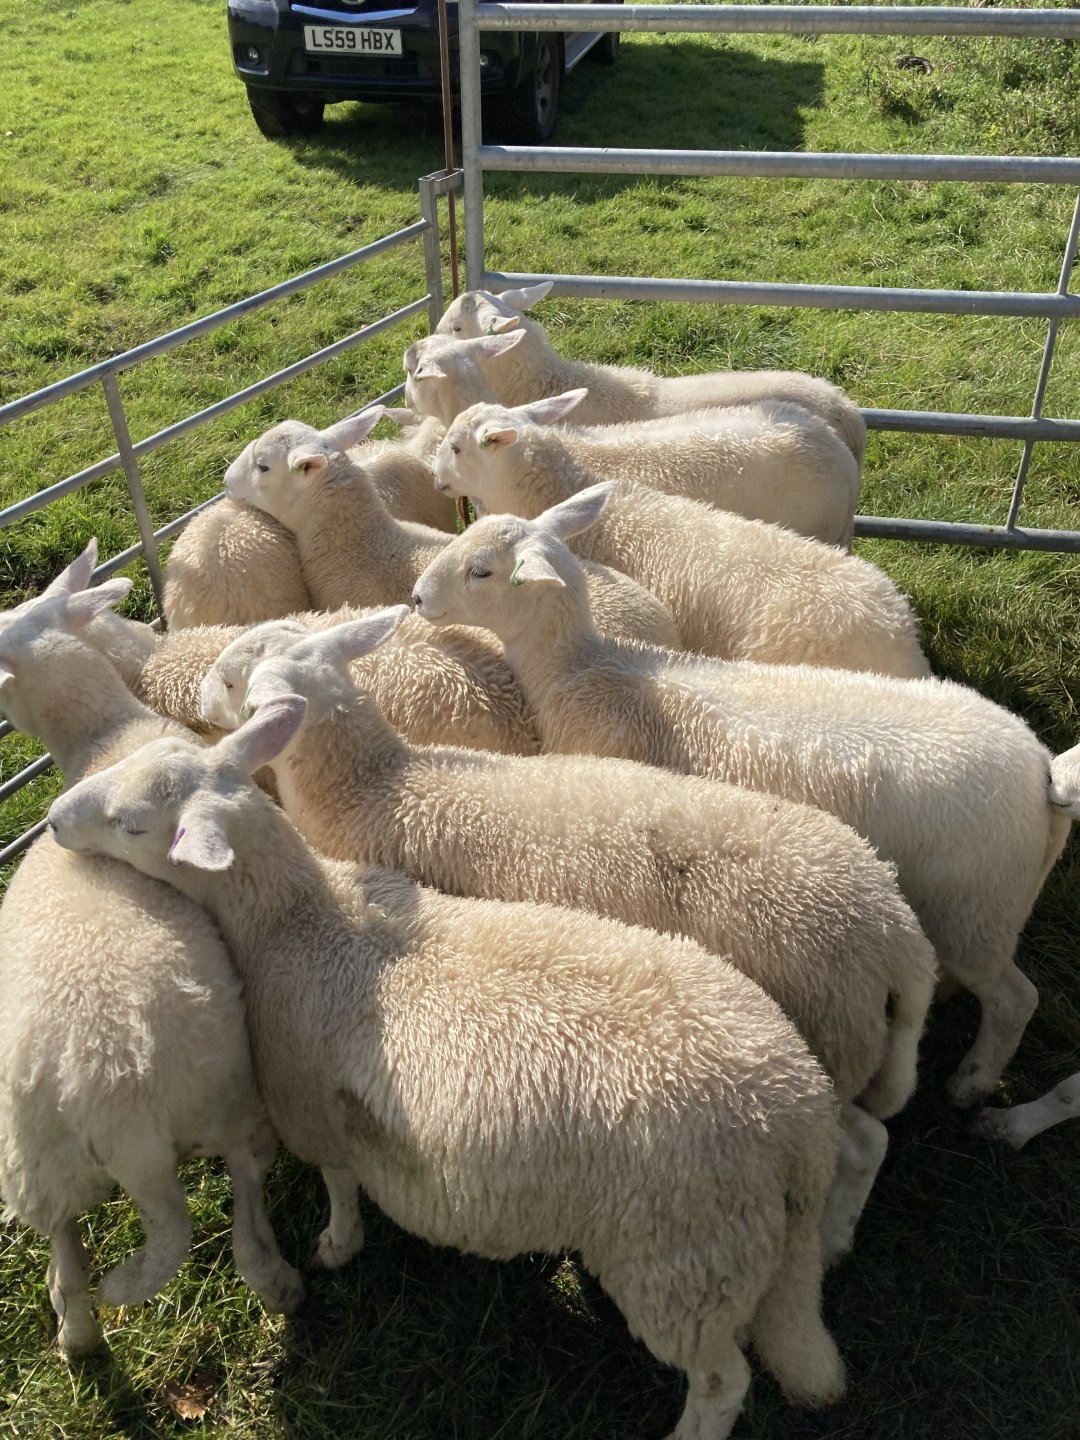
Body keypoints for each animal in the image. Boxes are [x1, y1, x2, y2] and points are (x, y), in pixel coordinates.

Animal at [0, 544, 303, 1355]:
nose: (53, 820)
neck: (106, 736)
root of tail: (112, 1092)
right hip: (203, 1107)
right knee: (231, 1208)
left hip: (61, 1155)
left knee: (108, 1240)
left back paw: (90, 1315)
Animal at [48, 697, 847, 1439]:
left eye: (131, 825)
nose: (55, 818)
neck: (299, 922)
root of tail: (798, 1117)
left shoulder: (311, 1102)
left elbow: (340, 1182)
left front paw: (337, 1246)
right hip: (736, 1251)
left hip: (682, 1263)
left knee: (720, 1381)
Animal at [205, 609, 937, 1260]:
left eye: (238, 677)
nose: (205, 695)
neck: (376, 785)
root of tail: (896, 931)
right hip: (845, 1040)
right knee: (872, 1137)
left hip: (829, 1032)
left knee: (857, 1140)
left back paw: (832, 1240)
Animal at [409, 488, 1075, 1108]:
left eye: (481, 571)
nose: (415, 598)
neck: (583, 670)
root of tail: (1041, 767)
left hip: (973, 905)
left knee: (1016, 999)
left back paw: (972, 1082)